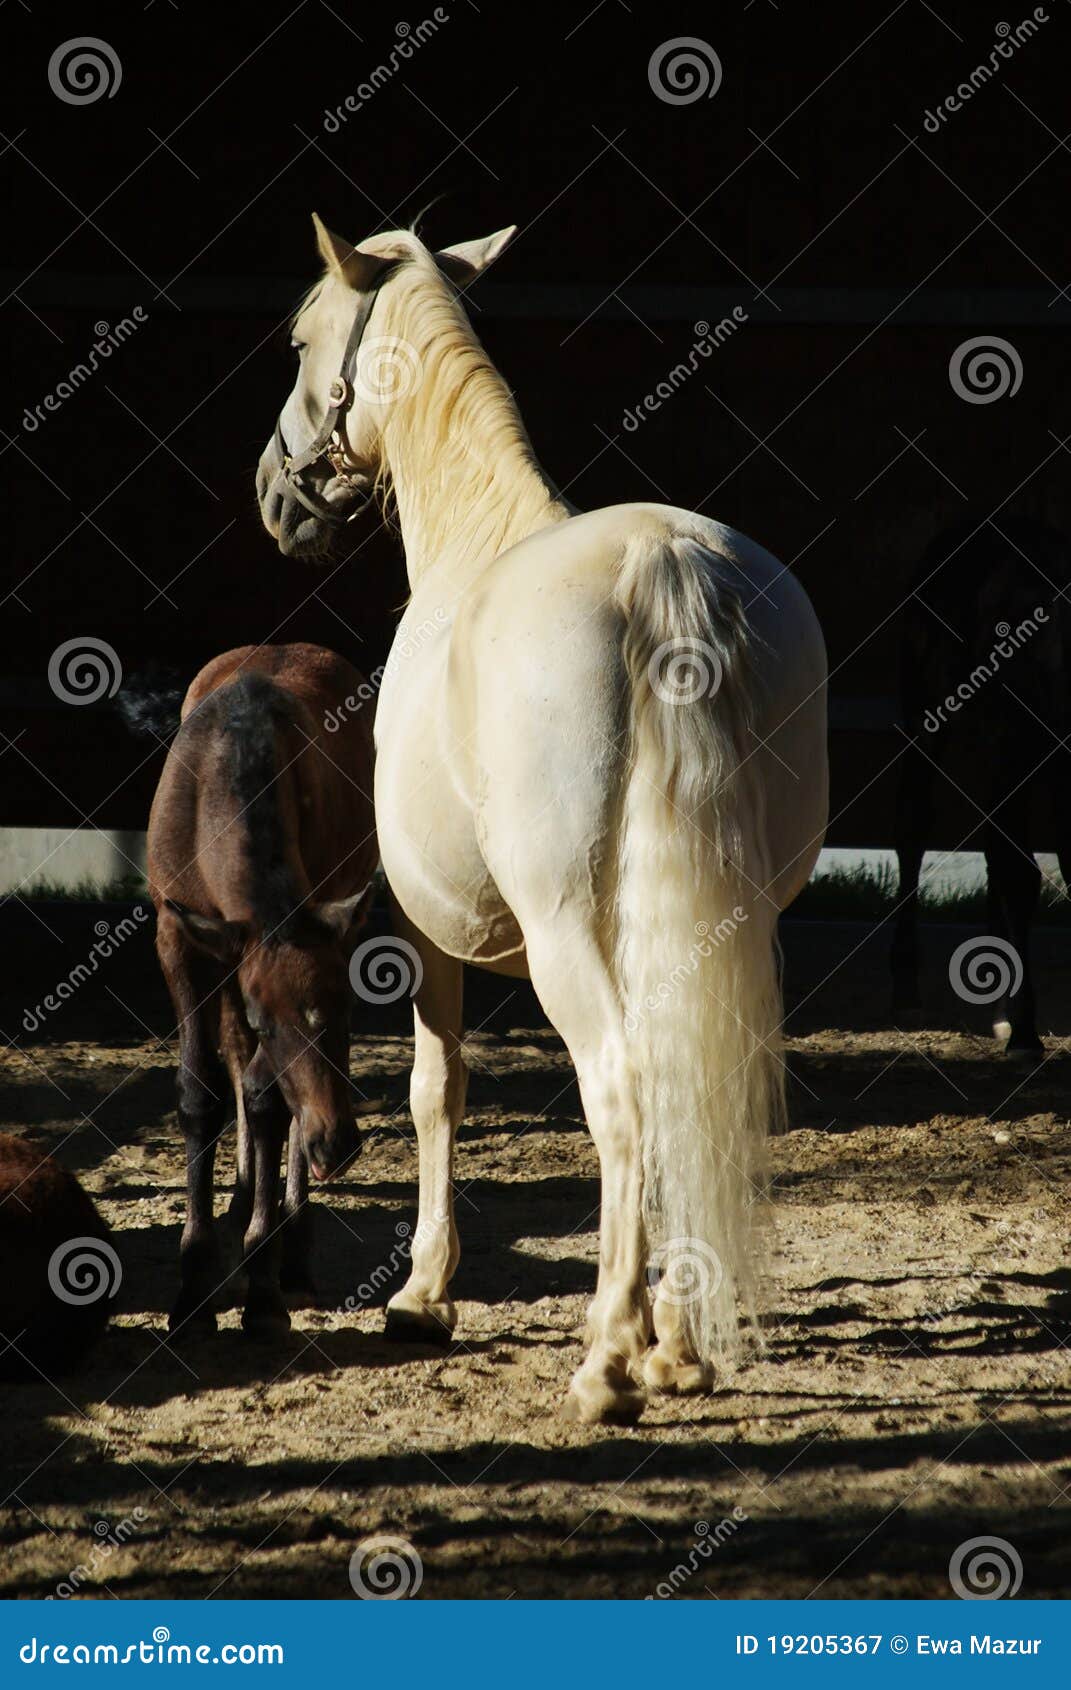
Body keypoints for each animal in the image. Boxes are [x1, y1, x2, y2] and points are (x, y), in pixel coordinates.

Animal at [147, 643, 376, 1339]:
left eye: (347, 1012)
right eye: (264, 1017)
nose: (339, 1144)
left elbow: (271, 1097)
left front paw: (264, 1287)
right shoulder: (178, 935)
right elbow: (201, 1093)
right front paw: (193, 1285)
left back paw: (288, 1244)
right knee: (230, 1056)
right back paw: (244, 1199)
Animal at [255, 218, 828, 1423]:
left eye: (300, 340)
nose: (275, 492)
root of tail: (661, 557)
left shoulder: (423, 933)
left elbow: (437, 1092)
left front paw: (423, 1295)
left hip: (570, 939)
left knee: (620, 1089)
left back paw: (609, 1362)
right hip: (725, 925)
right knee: (688, 1086)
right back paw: (675, 1348)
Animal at [891, 518, 1071, 1054]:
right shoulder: (1013, 741)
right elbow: (1019, 872)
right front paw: (1026, 1031)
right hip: (926, 705)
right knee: (913, 822)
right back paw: (906, 986)